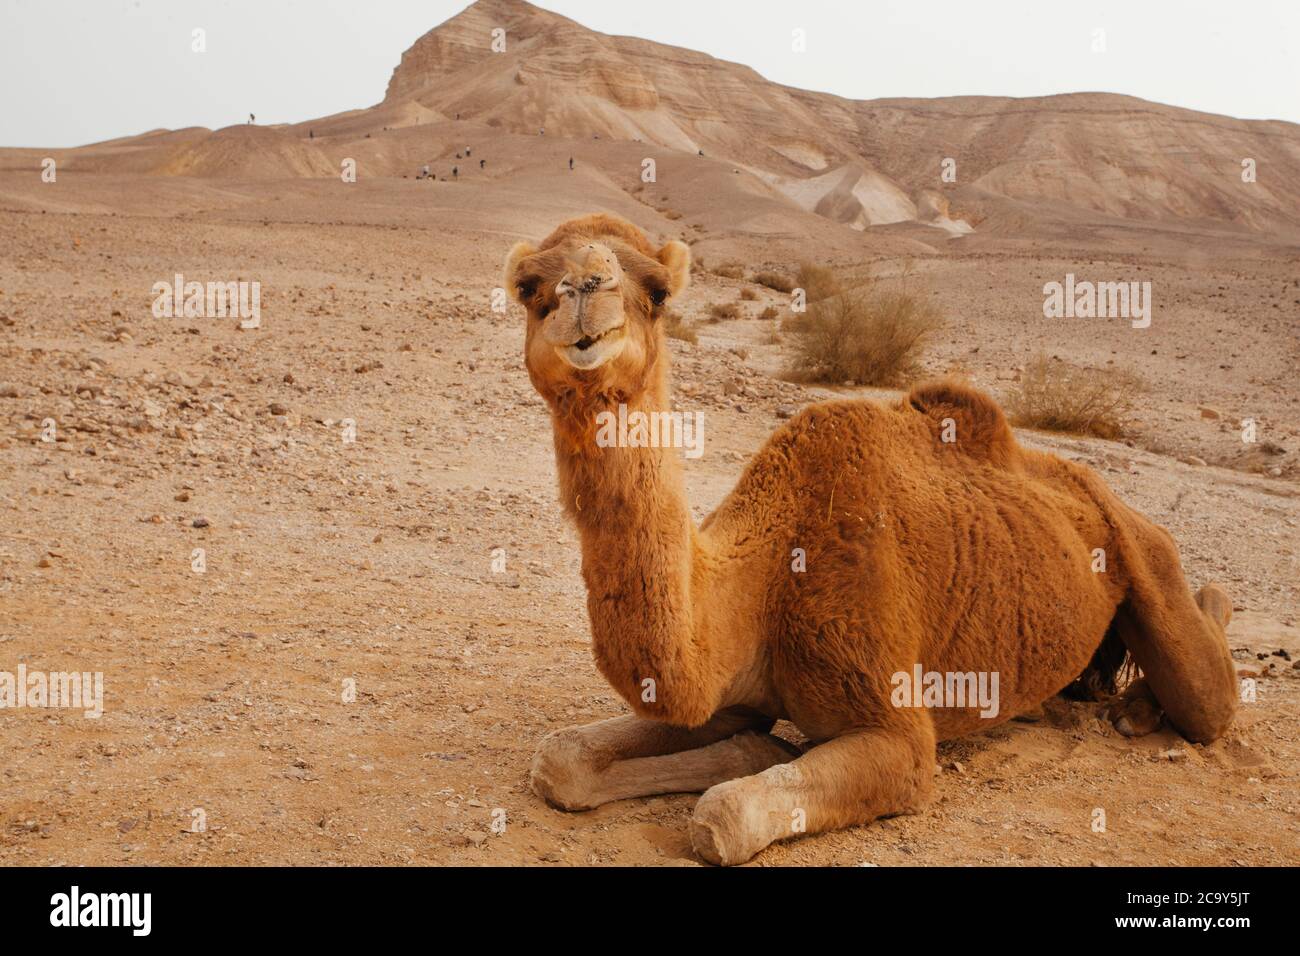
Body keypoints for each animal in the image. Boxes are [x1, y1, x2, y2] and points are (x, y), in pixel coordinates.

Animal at [504, 212, 1238, 866]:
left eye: (656, 291)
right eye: (529, 287)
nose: (584, 290)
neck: (767, 576)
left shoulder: (899, 735)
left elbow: (724, 814)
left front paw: (753, 762)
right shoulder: (726, 689)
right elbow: (558, 760)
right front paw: (755, 749)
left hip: (1145, 555)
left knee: (1208, 691)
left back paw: (1151, 692)